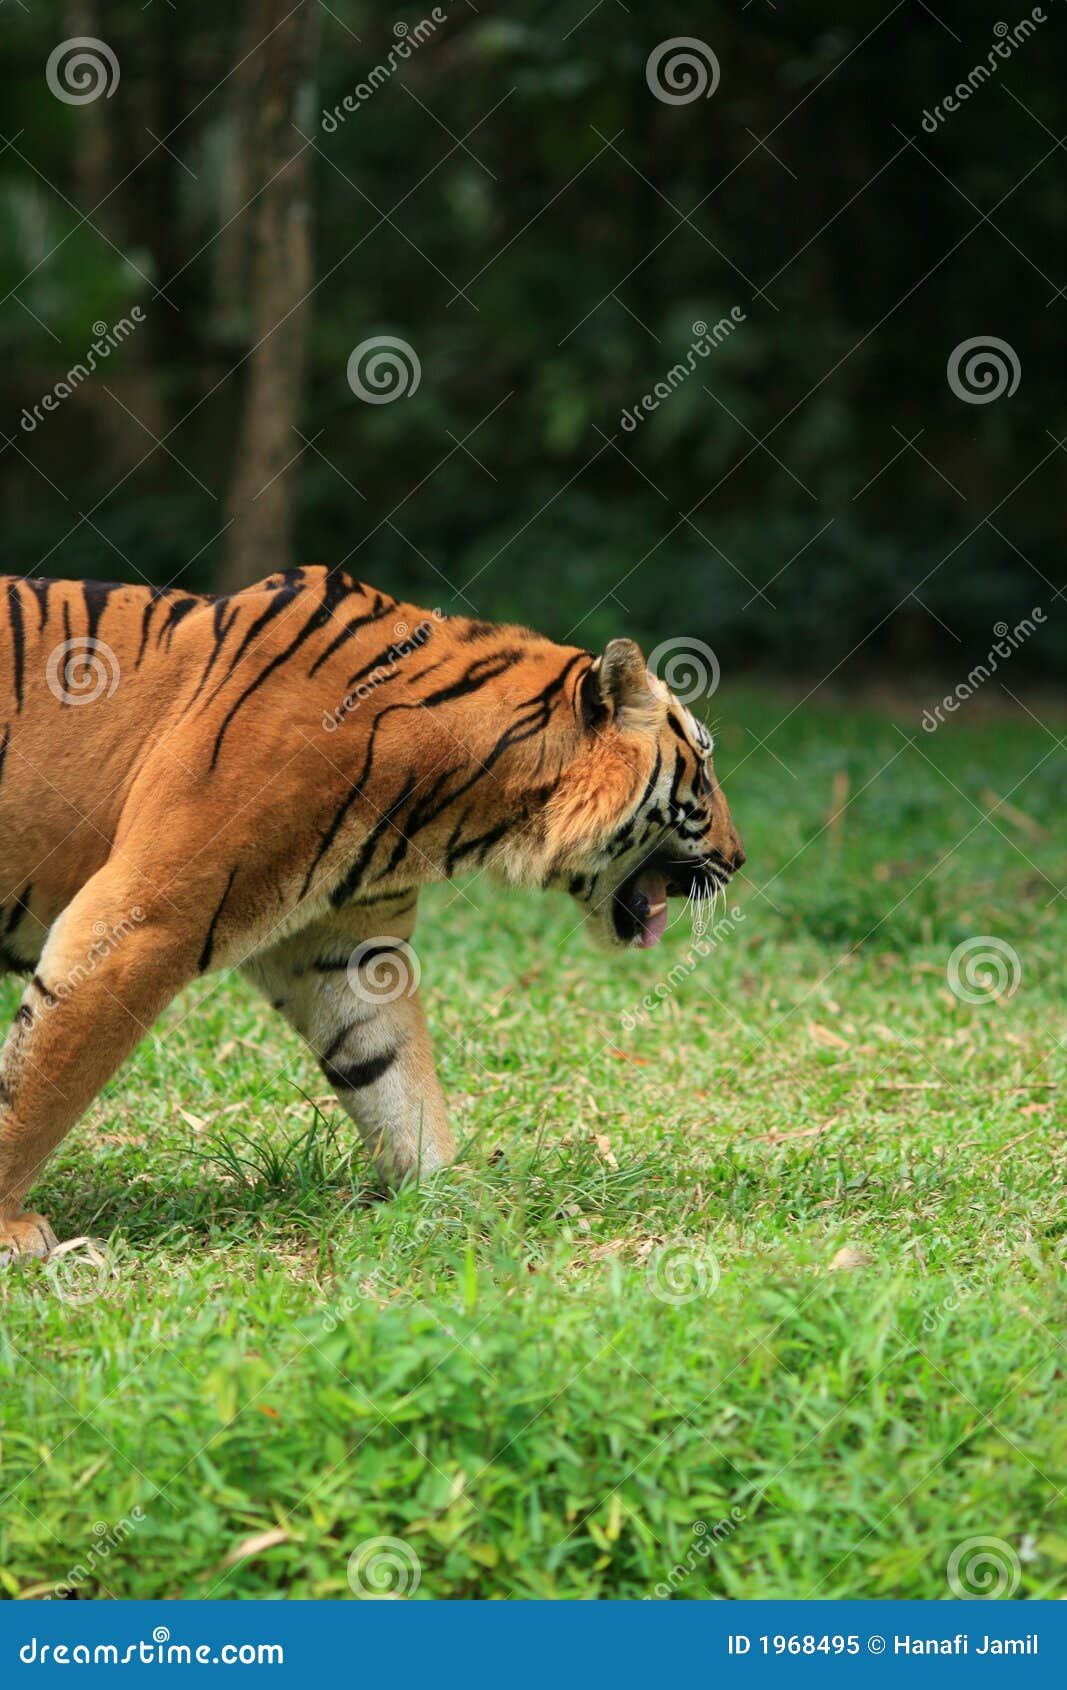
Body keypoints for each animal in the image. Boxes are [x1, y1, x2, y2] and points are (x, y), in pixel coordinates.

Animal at [0, 566, 744, 1258]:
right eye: (704, 769)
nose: (738, 861)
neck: (460, 807)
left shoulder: (345, 949)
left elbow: (392, 1075)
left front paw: (452, 1199)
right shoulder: (142, 917)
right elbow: (42, 1079)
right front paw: (11, 1230)